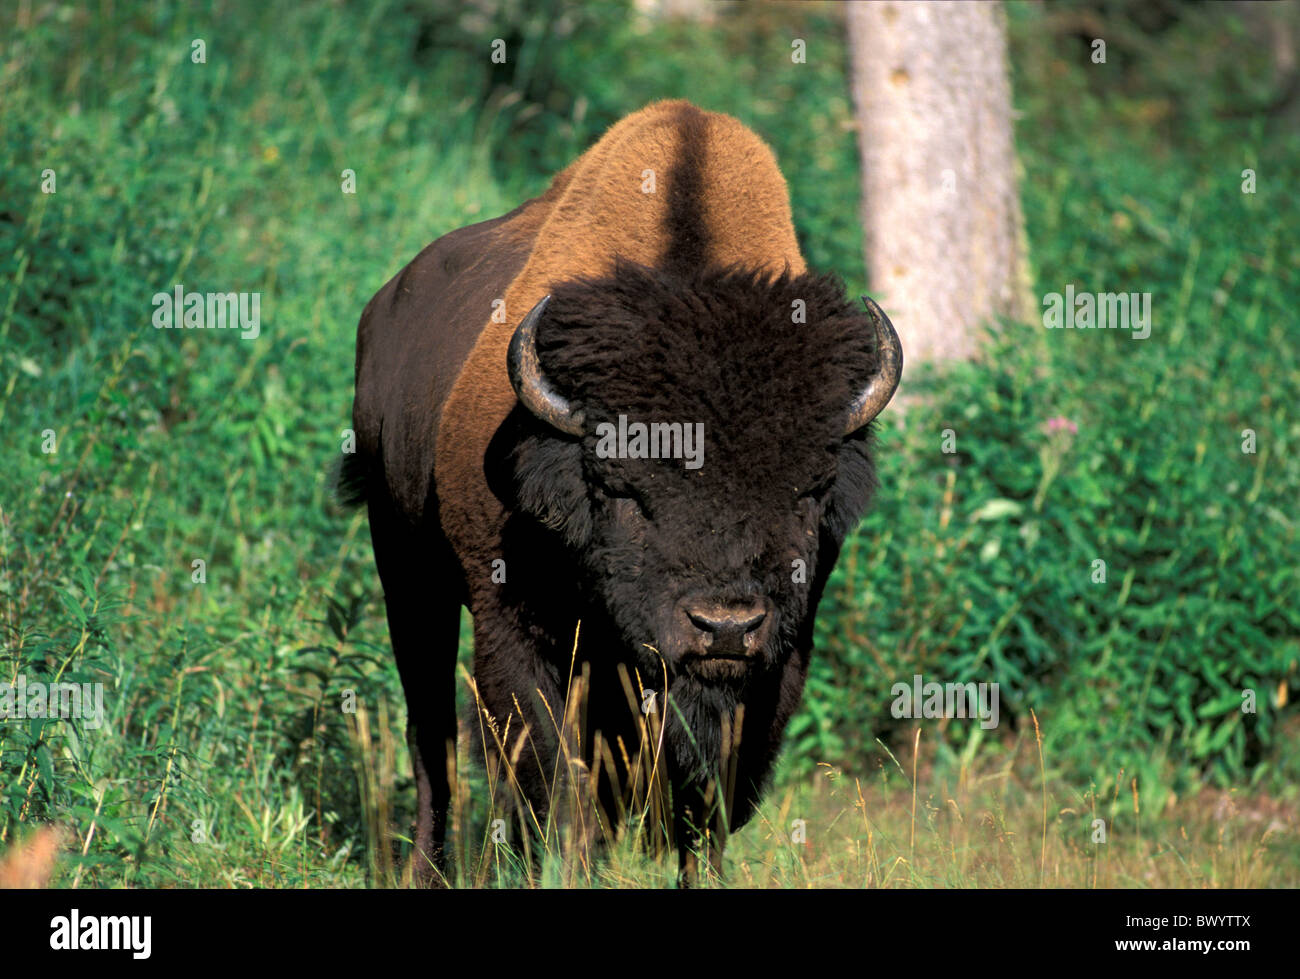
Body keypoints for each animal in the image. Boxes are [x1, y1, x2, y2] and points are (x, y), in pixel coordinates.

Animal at [341, 100, 902, 885]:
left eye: (807, 491)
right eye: (624, 490)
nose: (723, 626)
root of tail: (383, 307)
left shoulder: (778, 656)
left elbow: (709, 801)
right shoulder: (515, 630)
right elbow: (555, 776)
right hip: (407, 574)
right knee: (433, 742)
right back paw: (427, 869)